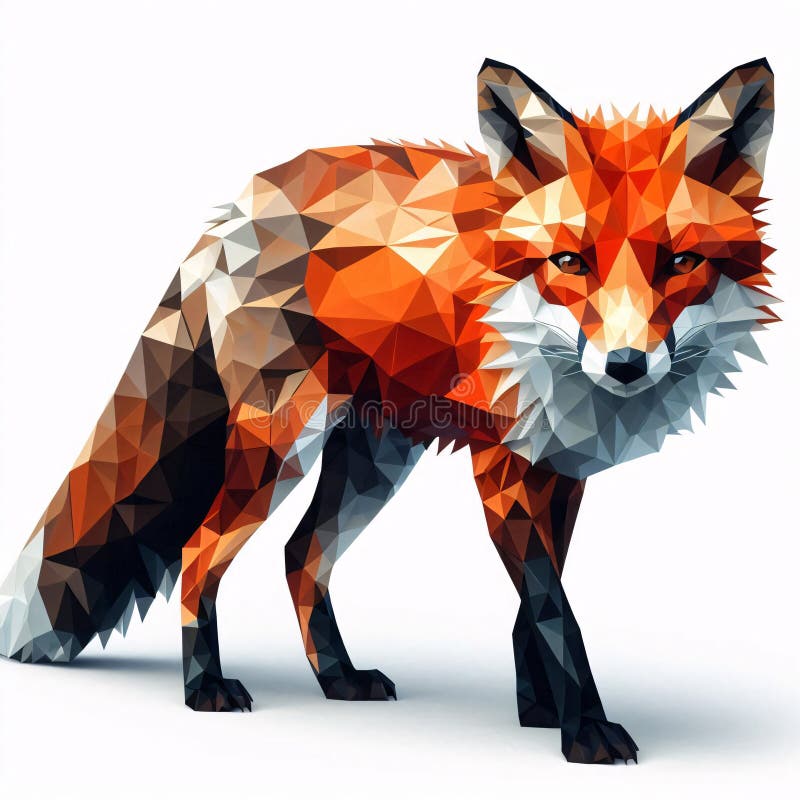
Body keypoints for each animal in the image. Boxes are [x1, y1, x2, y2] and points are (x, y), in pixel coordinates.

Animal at [0, 58, 776, 764]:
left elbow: (537, 607)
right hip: (281, 450)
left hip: (375, 460)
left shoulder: (561, 470)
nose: (625, 365)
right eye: (570, 262)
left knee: (301, 555)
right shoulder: (504, 472)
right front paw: (583, 731)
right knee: (200, 550)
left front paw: (537, 711)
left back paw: (338, 678)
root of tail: (235, 211)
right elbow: (558, 613)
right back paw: (204, 688)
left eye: (679, 263)